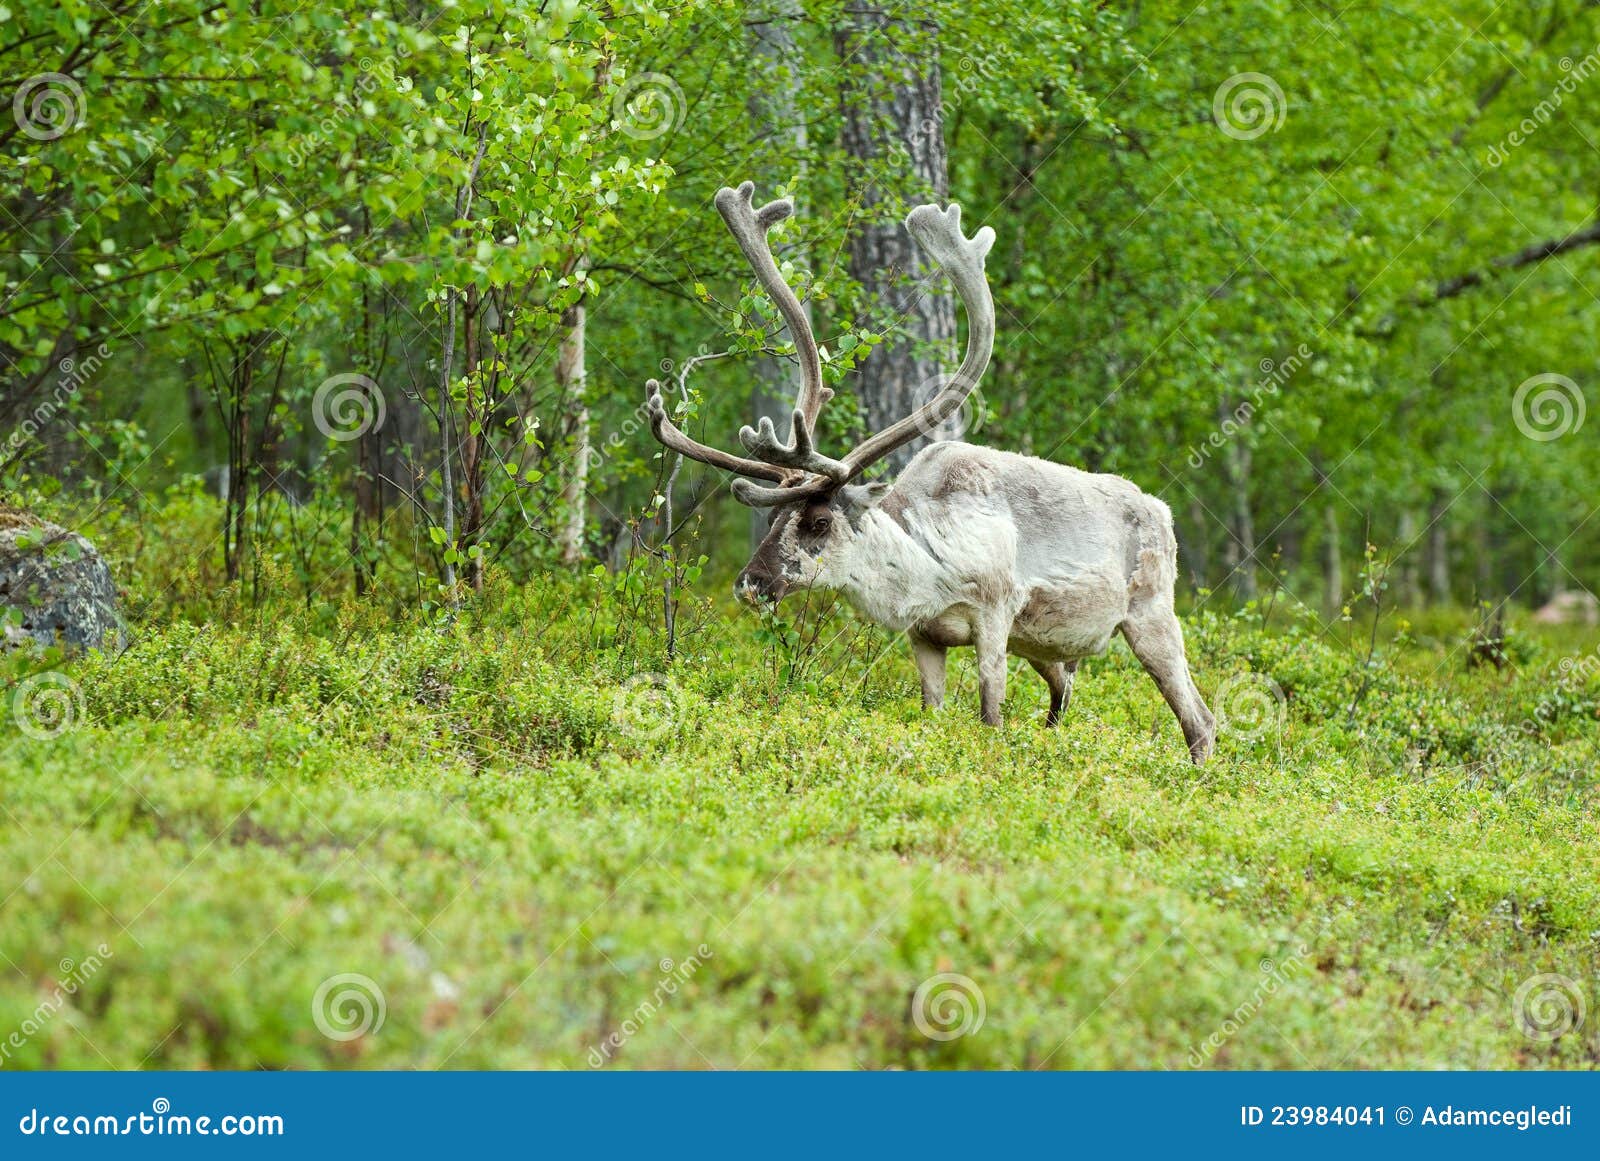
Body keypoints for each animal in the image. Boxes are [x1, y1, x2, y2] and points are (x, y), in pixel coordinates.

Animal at [644, 182, 1217, 764]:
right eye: (770, 520)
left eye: (820, 522)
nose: (749, 584)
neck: (924, 565)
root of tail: (1163, 512)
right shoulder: (925, 637)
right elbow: (931, 714)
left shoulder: (995, 615)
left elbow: (990, 717)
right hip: (1047, 645)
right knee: (1066, 694)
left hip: (1151, 615)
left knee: (1200, 718)